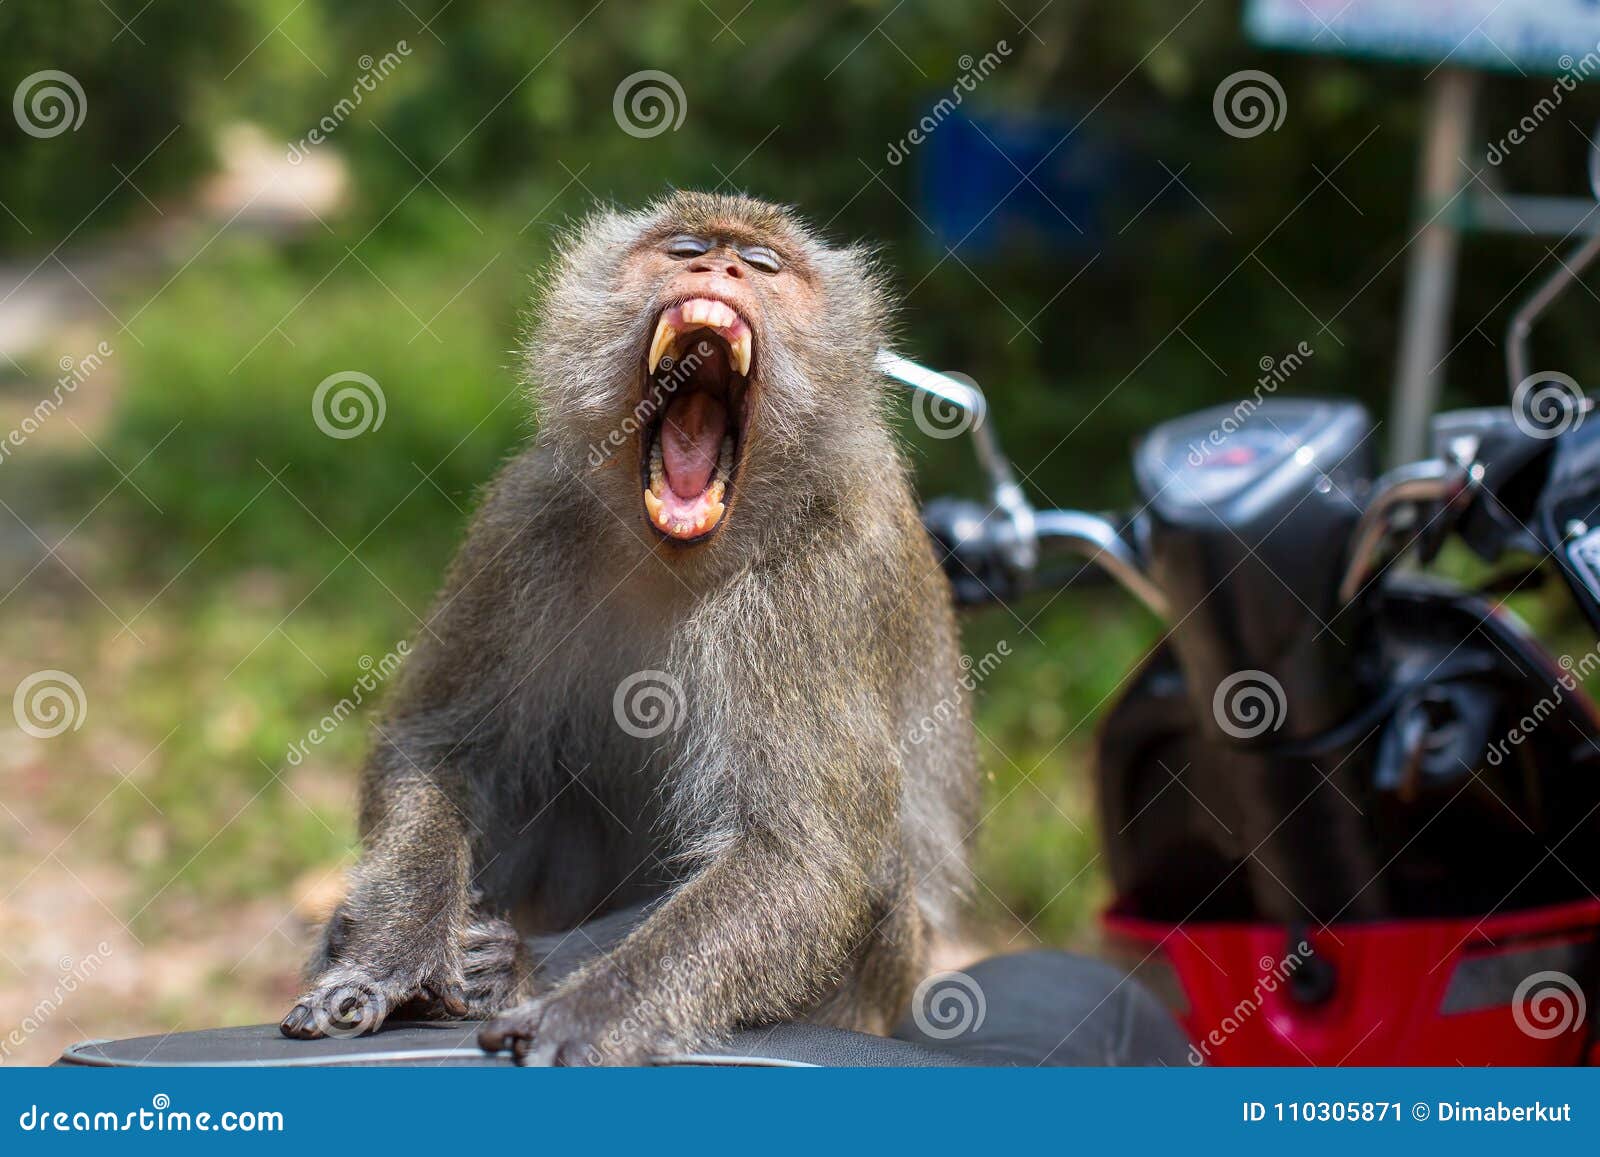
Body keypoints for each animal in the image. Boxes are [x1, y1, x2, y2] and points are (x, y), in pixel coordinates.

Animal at [278, 191, 979, 1065]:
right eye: (683, 247)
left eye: (765, 265)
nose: (720, 266)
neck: (679, 558)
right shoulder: (525, 519)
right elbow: (438, 743)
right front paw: (389, 951)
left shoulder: (825, 579)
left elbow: (801, 856)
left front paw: (579, 1010)